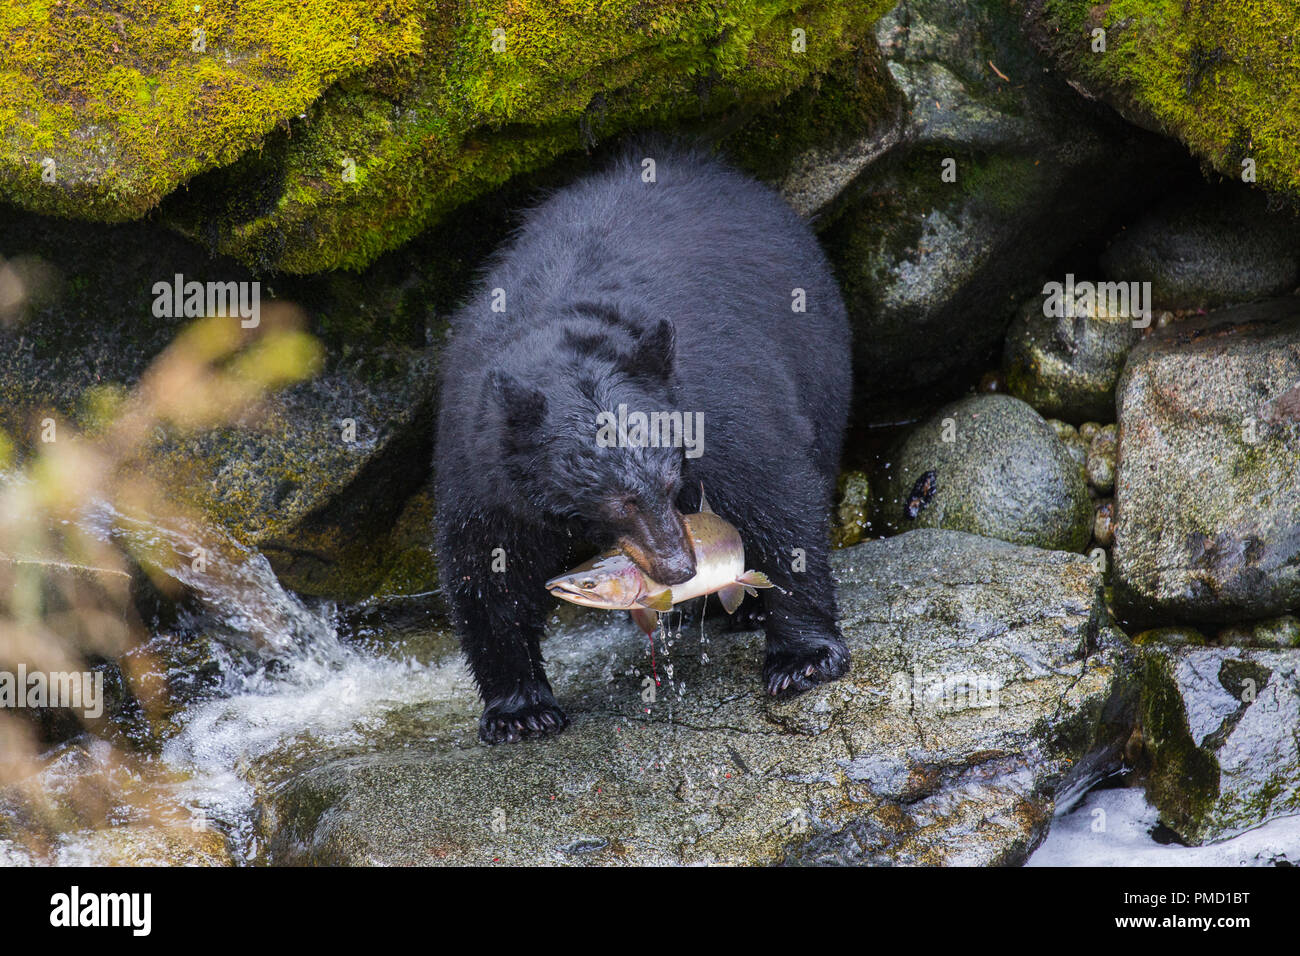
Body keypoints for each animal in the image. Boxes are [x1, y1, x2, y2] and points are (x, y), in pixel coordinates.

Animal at [435, 145, 852, 744]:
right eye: (618, 502)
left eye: (671, 481)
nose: (679, 568)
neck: (565, 329)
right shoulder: (481, 455)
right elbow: (488, 562)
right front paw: (519, 710)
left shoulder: (708, 402)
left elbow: (773, 494)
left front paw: (803, 659)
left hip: (820, 356)